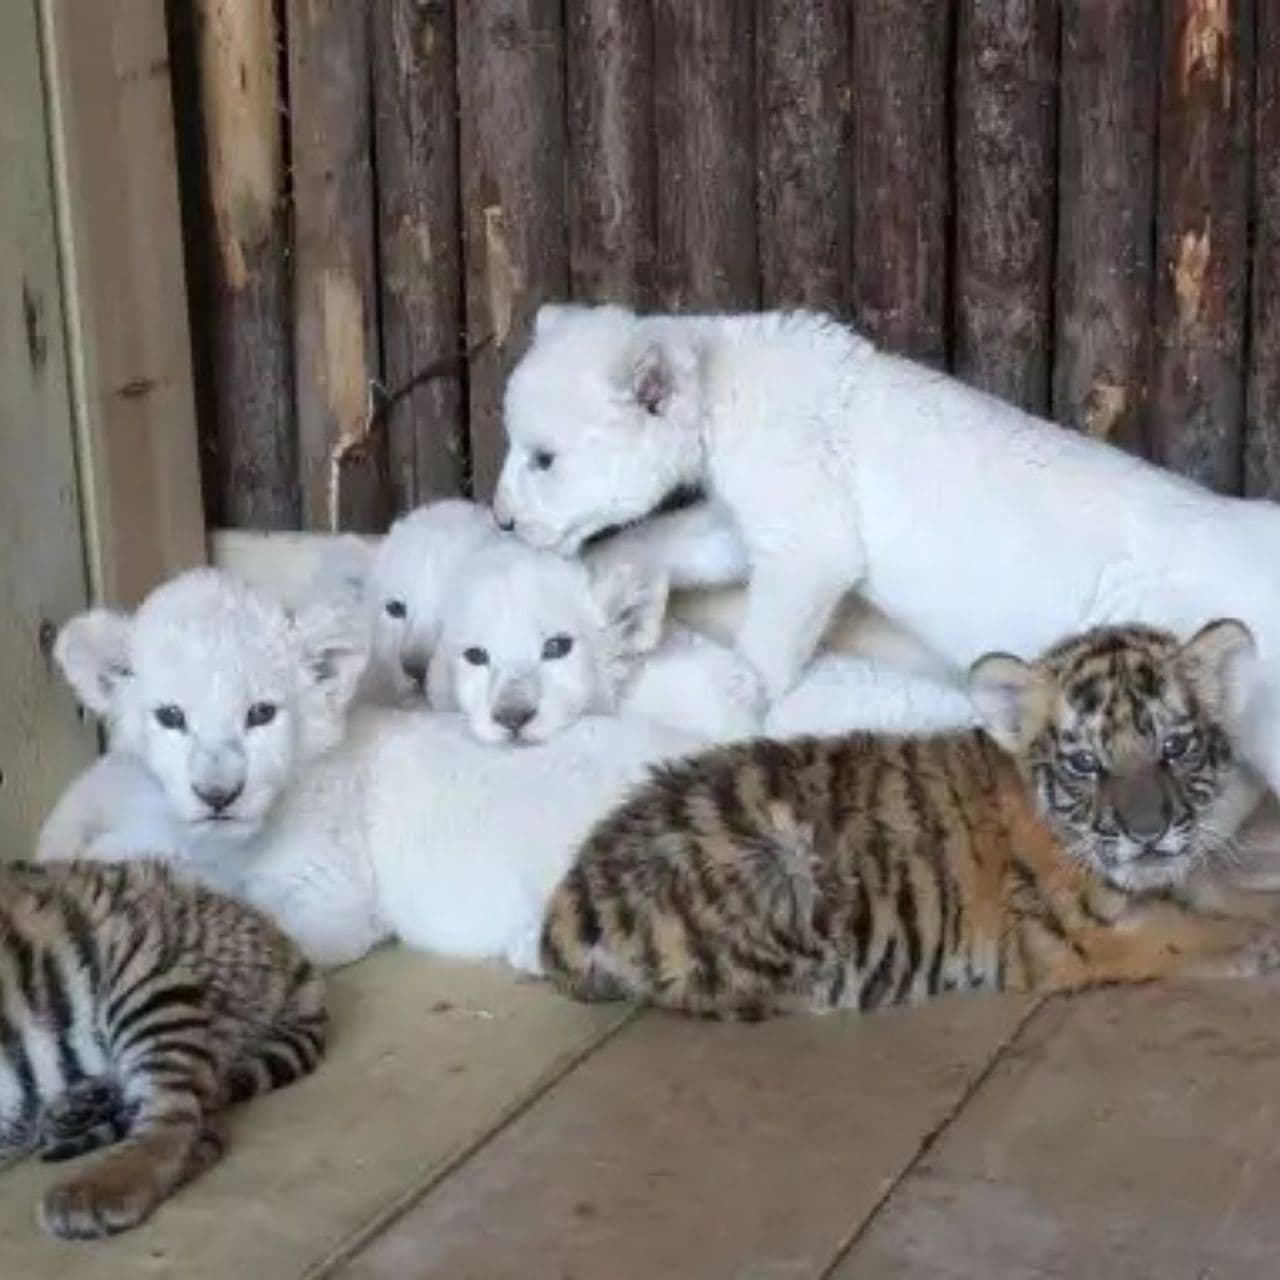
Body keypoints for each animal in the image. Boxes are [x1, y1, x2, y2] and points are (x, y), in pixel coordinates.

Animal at [539, 619, 1280, 1019]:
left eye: (1174, 748)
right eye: (1084, 764)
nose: (1146, 832)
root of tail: (569, 895)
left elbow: (1217, 887)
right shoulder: (1064, 938)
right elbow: (1179, 936)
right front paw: (1257, 944)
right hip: (778, 867)